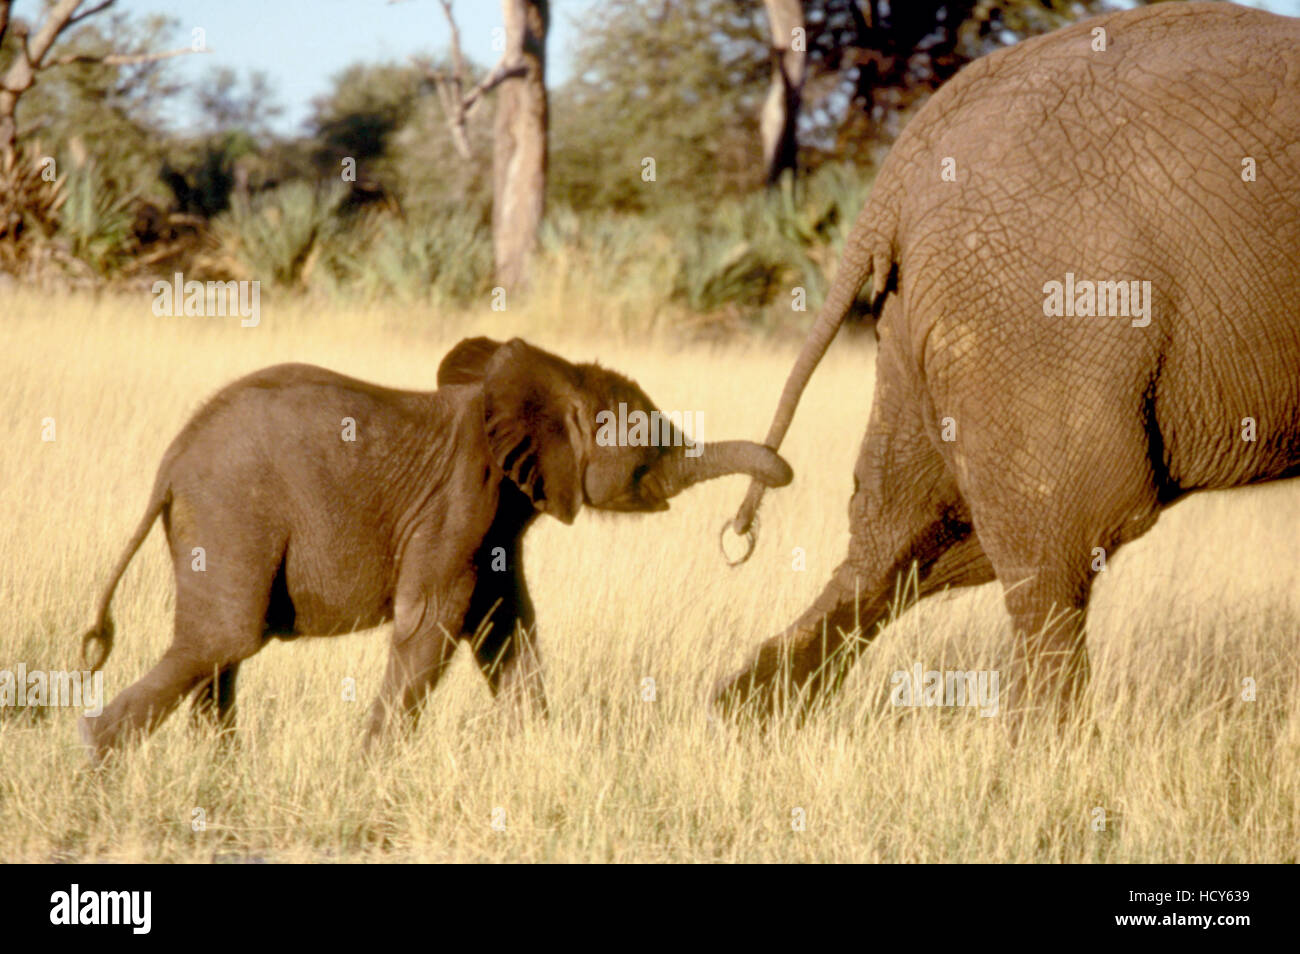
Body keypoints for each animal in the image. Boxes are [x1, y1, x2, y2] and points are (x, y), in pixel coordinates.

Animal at [78, 337, 791, 760]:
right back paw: (95, 754)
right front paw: (369, 769)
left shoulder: (500, 513)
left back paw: (218, 769)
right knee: (225, 638)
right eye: (651, 453)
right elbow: (432, 623)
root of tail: (169, 465)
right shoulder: (461, 498)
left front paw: (536, 754)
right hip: (232, 510)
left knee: (219, 648)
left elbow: (505, 625)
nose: (743, 527)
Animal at [715, 2, 1300, 727]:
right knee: (1057, 542)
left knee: (907, 528)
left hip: (932, 321)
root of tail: (899, 174)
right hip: (1040, 312)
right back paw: (1052, 747)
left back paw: (745, 713)